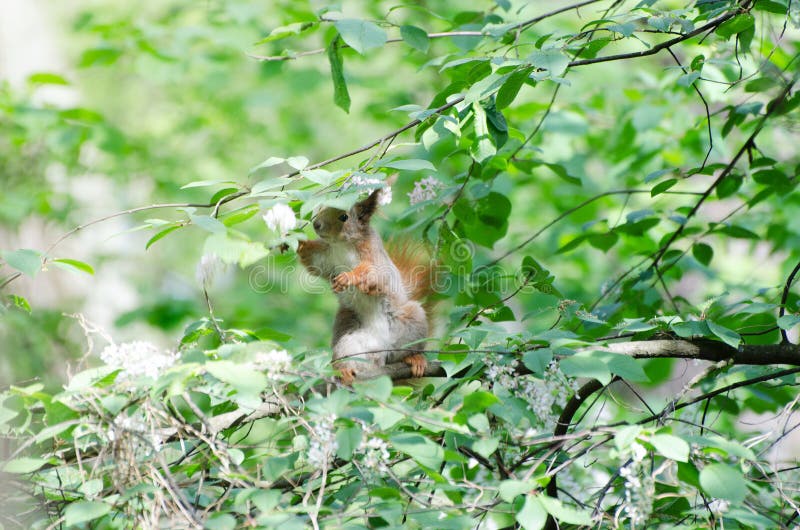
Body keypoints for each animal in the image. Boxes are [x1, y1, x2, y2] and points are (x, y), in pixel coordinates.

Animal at [297, 188, 432, 385]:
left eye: (344, 217)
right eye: (323, 207)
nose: (316, 224)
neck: (343, 245)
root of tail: (382, 349)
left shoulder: (374, 257)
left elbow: (375, 274)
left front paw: (349, 277)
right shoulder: (325, 257)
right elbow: (313, 260)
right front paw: (295, 242)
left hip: (413, 324)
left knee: (403, 352)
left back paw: (414, 358)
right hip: (349, 340)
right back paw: (345, 370)